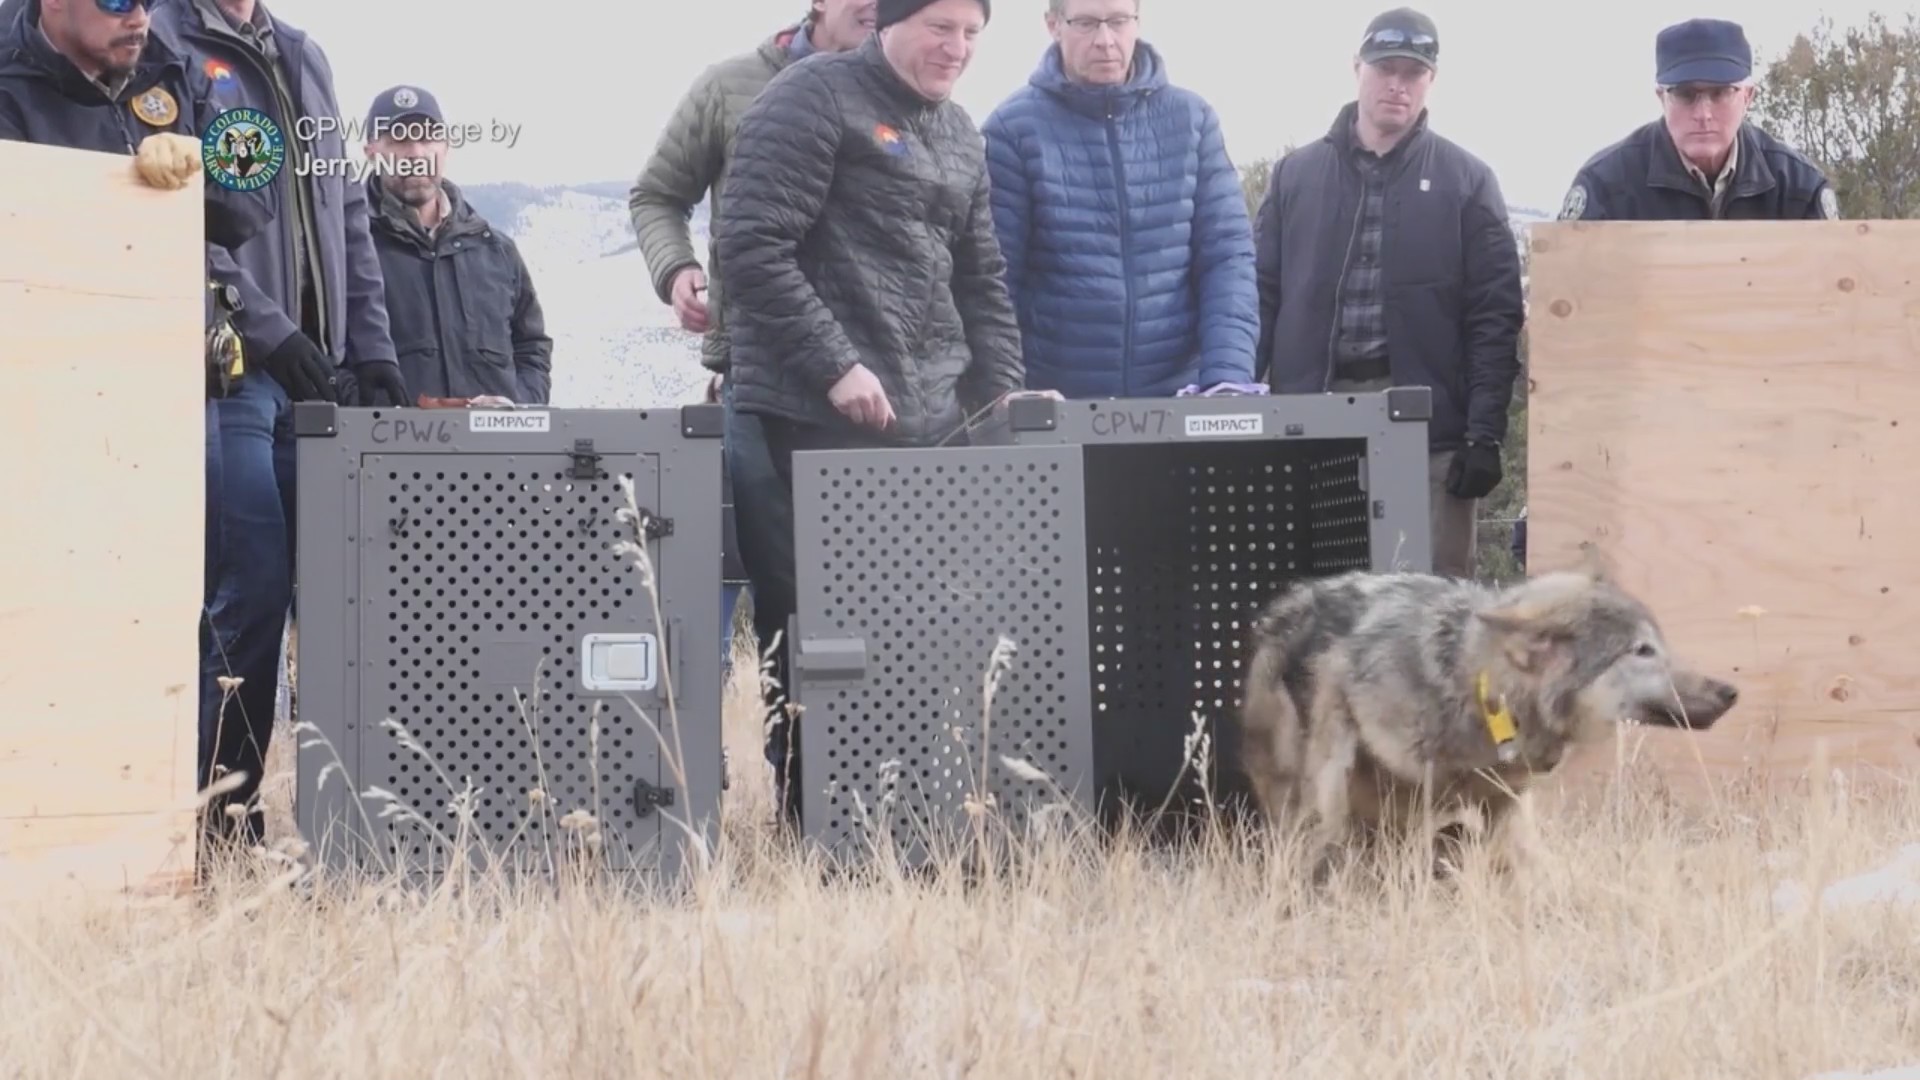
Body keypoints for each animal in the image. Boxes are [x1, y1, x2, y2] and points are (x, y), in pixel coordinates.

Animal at [1236, 564, 1739, 882]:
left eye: (1659, 646)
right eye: (1642, 651)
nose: (1729, 692)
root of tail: (1283, 609)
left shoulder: (1504, 804)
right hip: (1317, 789)